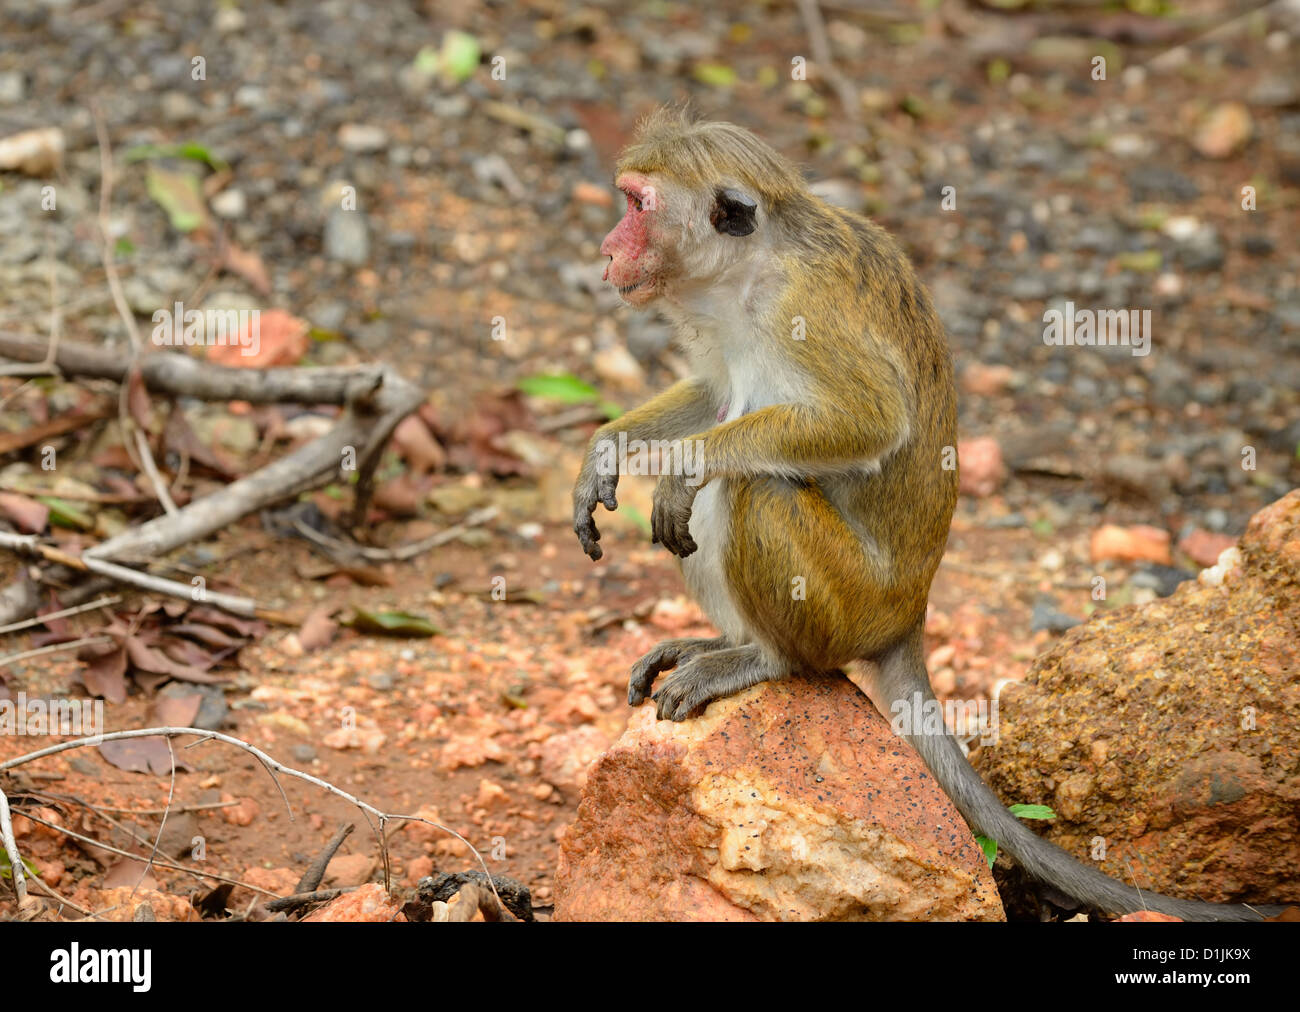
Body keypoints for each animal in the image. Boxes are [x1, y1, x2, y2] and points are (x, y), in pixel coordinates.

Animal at [572, 109, 1278, 922]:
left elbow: (867, 421)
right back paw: (723, 638)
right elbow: (715, 390)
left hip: (853, 603)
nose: (607, 248)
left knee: (759, 489)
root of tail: (913, 612)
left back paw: (767, 657)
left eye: (638, 205)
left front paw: (682, 466)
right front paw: (603, 449)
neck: (749, 270)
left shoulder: (803, 310)